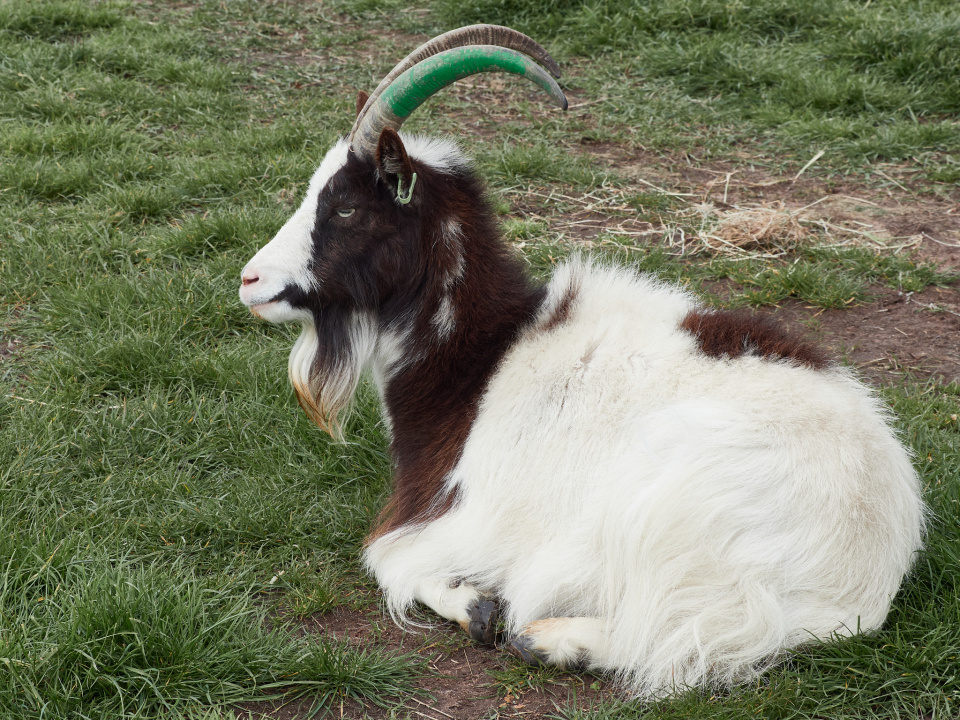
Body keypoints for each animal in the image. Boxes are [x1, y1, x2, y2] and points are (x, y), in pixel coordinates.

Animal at [238, 25, 925, 697]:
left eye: (347, 206)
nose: (250, 281)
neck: (482, 364)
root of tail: (861, 577)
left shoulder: (466, 516)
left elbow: (383, 557)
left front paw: (474, 603)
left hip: (667, 512)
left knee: (674, 638)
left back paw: (553, 640)